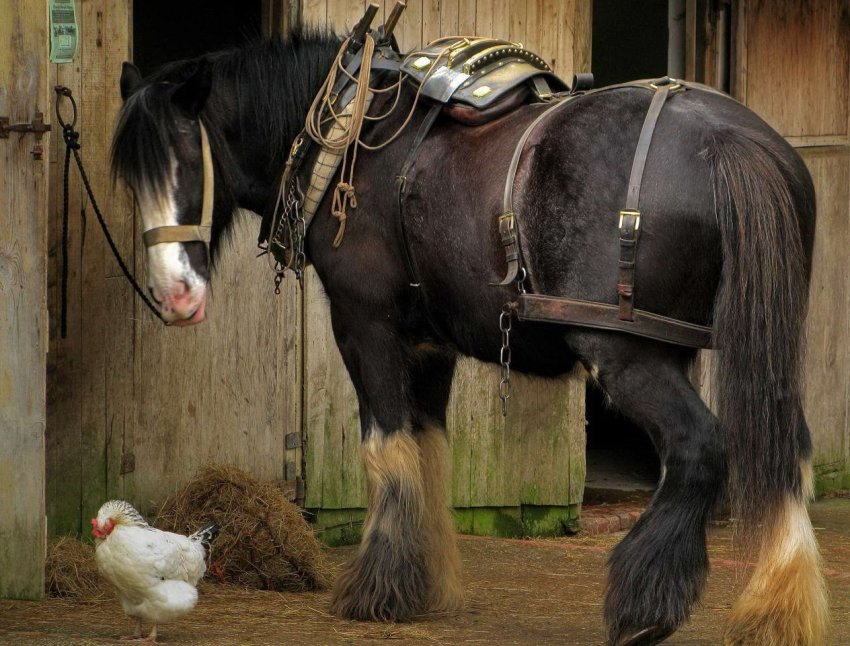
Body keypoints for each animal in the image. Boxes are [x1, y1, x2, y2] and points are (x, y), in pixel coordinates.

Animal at [111, 30, 828, 646]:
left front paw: (378, 590)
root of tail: (727, 138)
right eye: (130, 175)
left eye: (186, 159)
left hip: (625, 351)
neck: (351, 135)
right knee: (787, 449)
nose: (175, 296)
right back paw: (777, 611)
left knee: (700, 445)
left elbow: (386, 449)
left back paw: (644, 606)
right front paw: (424, 584)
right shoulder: (431, 345)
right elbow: (427, 451)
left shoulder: (364, 325)